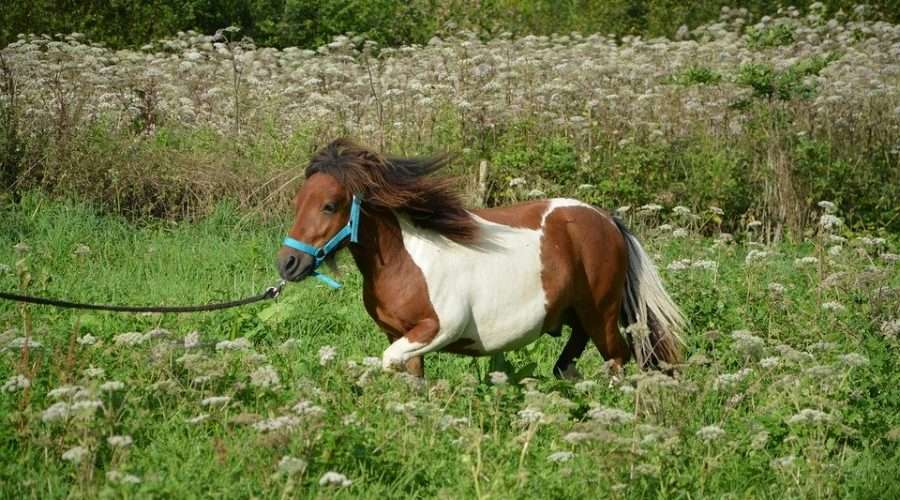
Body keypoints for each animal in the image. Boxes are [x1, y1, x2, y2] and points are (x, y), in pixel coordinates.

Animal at [276, 139, 685, 378]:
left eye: (330, 206)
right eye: (298, 202)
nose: (288, 264)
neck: (406, 260)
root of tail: (606, 219)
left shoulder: (437, 328)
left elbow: (387, 360)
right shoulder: (403, 336)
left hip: (601, 313)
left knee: (618, 358)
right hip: (576, 315)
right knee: (569, 360)